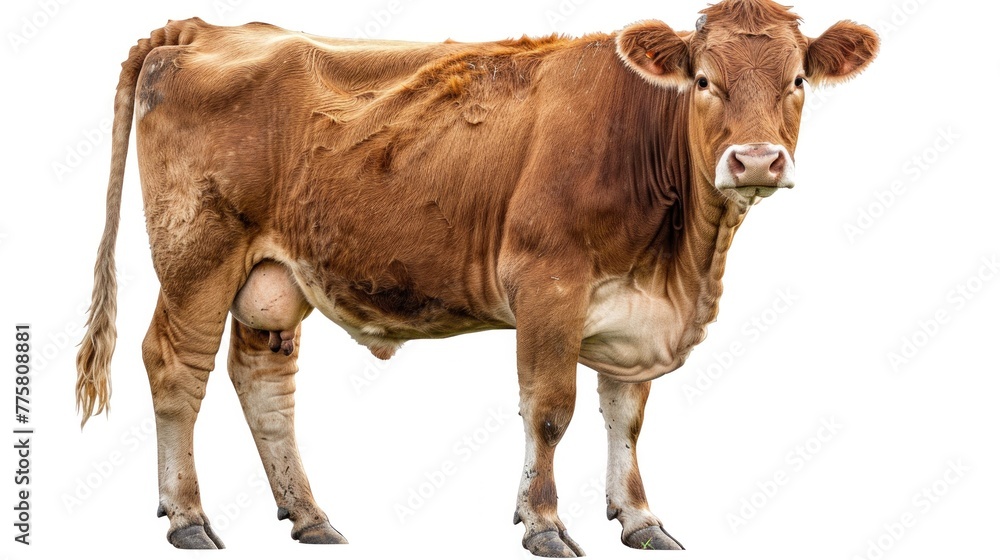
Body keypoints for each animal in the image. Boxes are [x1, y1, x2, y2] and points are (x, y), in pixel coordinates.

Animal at [75, 0, 878, 555]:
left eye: (798, 80)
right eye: (704, 81)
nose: (756, 160)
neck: (681, 265)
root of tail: (200, 27)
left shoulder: (632, 310)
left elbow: (626, 416)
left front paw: (641, 519)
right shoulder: (548, 283)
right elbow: (550, 410)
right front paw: (543, 522)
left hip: (271, 278)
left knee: (262, 382)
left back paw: (310, 516)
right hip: (198, 256)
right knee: (174, 368)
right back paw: (188, 517)